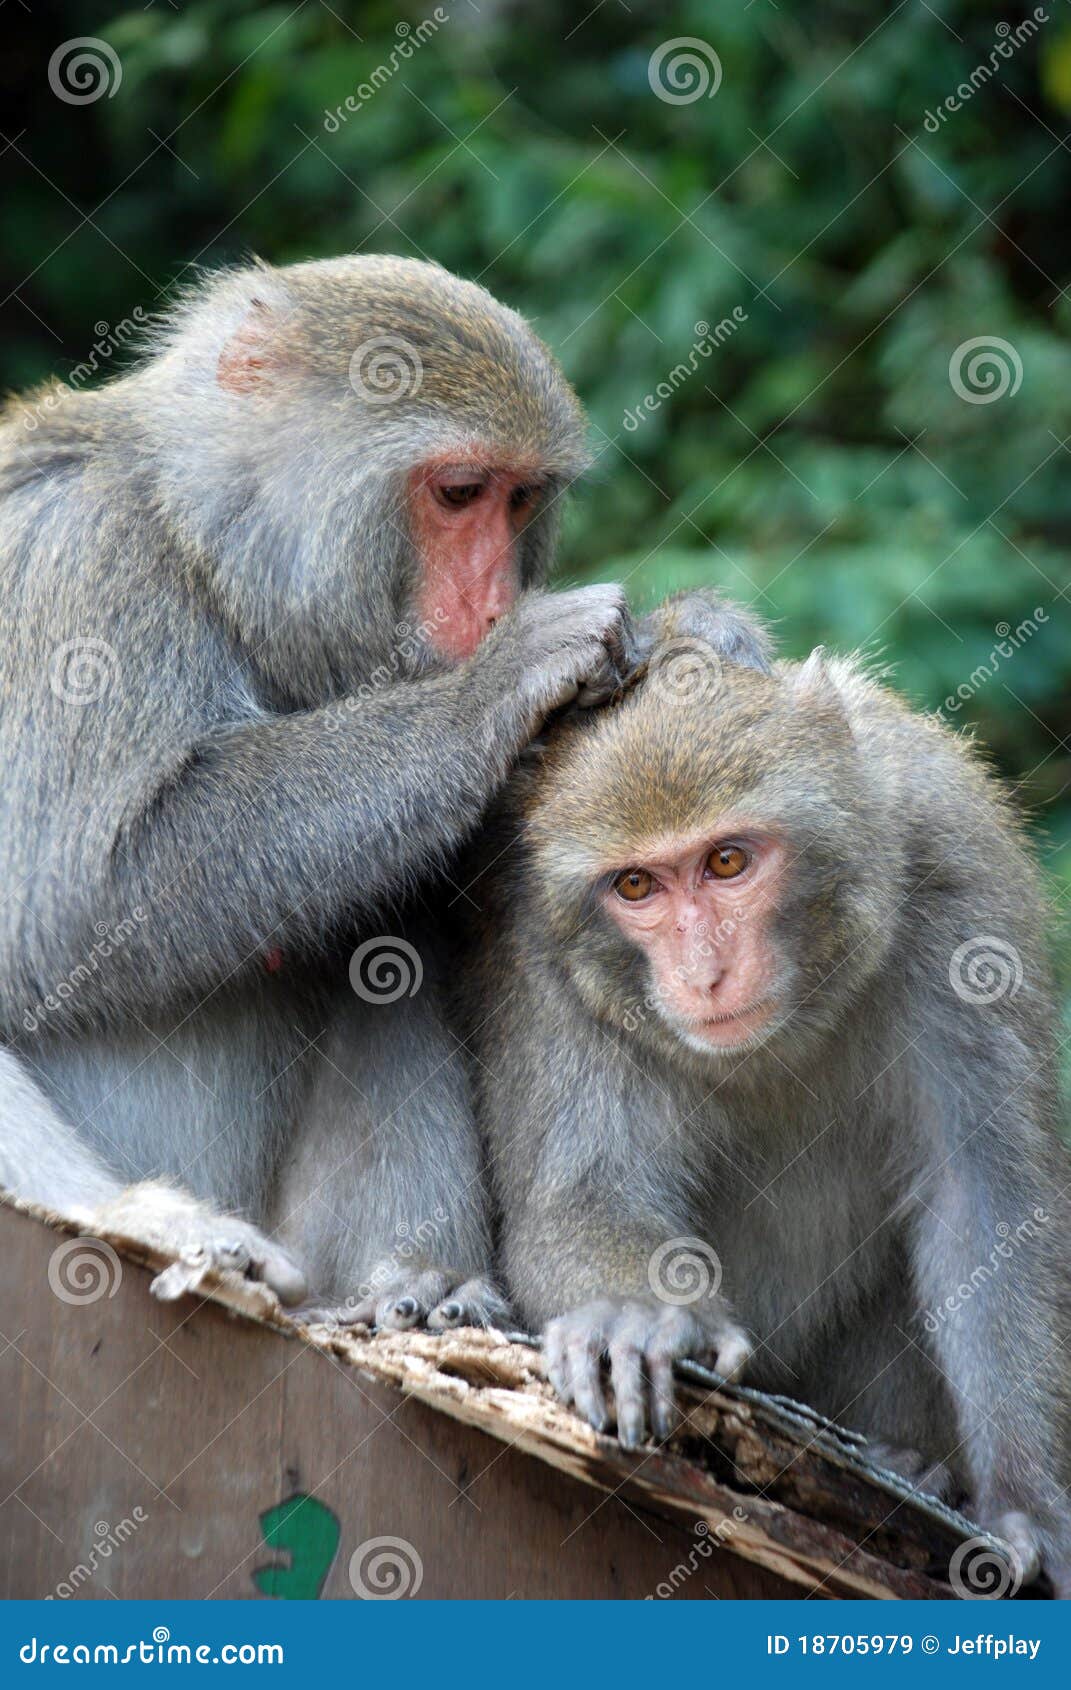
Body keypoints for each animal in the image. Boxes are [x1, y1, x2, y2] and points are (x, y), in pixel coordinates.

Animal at [0, 253, 635, 1330]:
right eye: (459, 491)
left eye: (520, 503)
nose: (495, 605)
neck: (198, 549)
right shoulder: (74, 563)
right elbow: (71, 899)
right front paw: (494, 687)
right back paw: (142, 1215)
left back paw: (415, 1279)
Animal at [462, 599, 1071, 1594]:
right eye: (636, 884)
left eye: (727, 862)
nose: (704, 974)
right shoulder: (543, 957)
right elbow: (575, 1201)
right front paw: (636, 1322)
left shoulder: (954, 870)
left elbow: (987, 1205)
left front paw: (1028, 1507)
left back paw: (906, 1464)